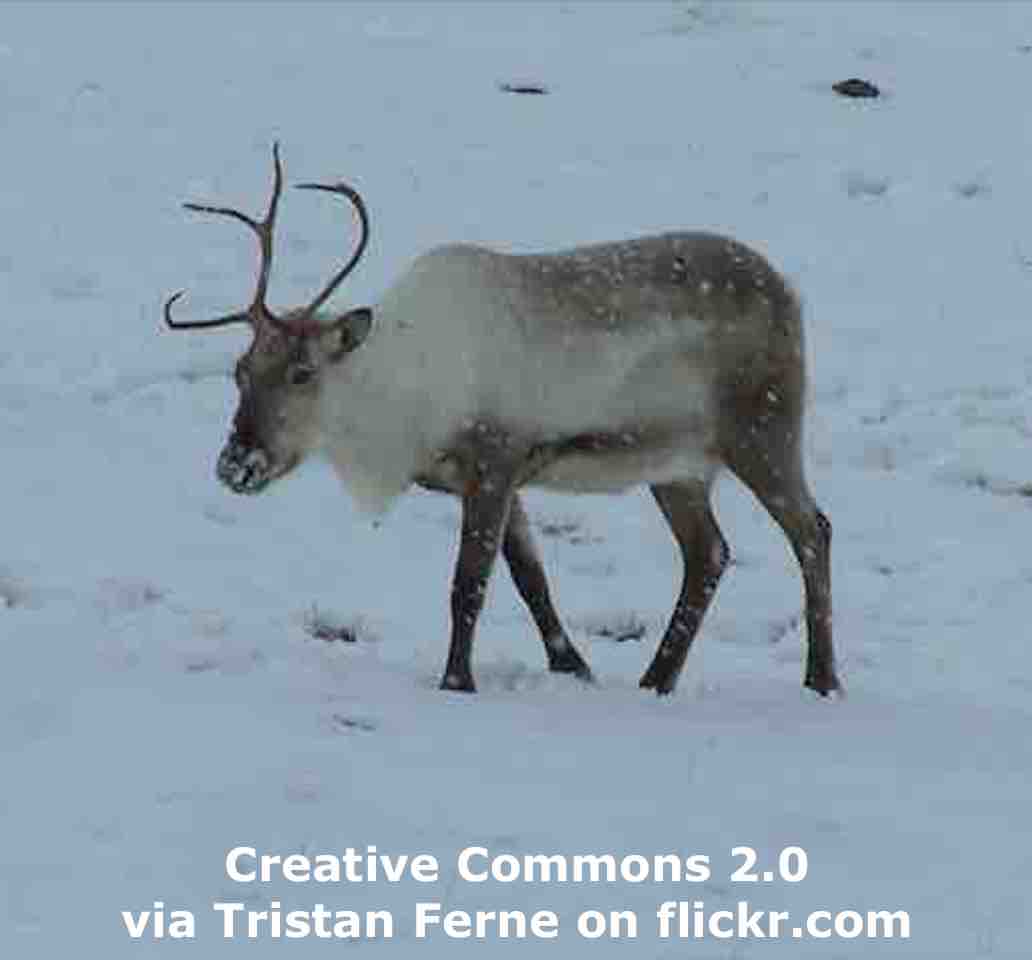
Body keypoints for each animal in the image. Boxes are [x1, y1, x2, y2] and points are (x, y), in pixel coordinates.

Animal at [164, 144, 840, 698]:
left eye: (303, 372)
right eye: (240, 370)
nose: (236, 463)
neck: (402, 398)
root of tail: (790, 292)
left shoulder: (495, 460)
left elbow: (469, 583)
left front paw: (455, 681)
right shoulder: (496, 478)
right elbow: (529, 577)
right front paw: (573, 666)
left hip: (762, 430)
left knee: (812, 530)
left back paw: (821, 679)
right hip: (676, 467)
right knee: (709, 553)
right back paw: (655, 681)